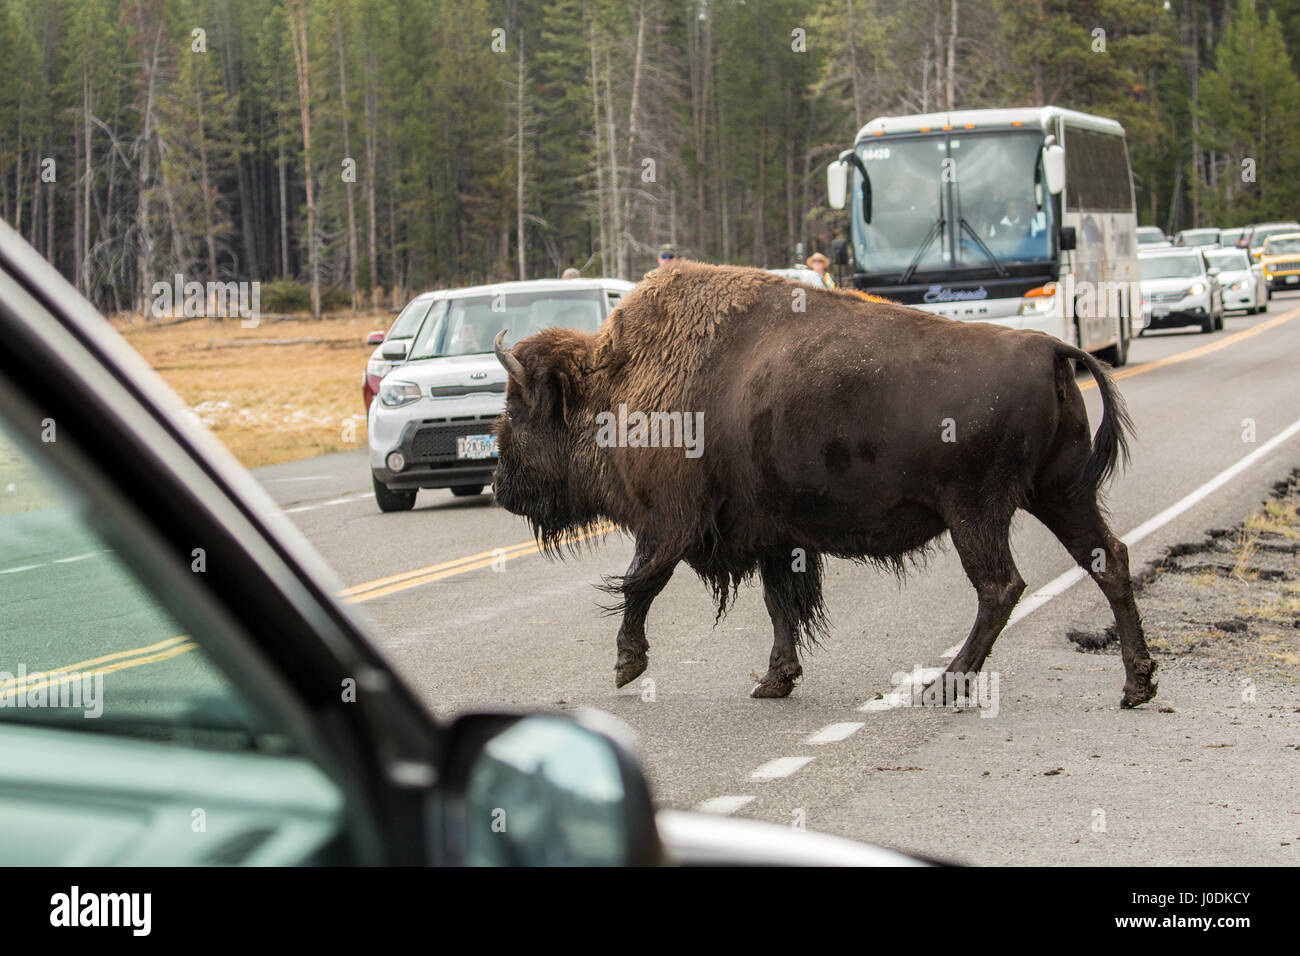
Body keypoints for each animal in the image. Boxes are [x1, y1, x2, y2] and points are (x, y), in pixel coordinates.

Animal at [491, 259, 1158, 709]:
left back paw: (944, 685)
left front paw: (627, 667)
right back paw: (1137, 684)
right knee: (1108, 560)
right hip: (1059, 494)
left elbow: (639, 585)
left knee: (1000, 587)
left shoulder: (671, 522)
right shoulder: (773, 536)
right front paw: (774, 681)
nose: (500, 487)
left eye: (520, 409)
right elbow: (778, 605)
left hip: (978, 511)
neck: (618, 380)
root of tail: (1048, 346)